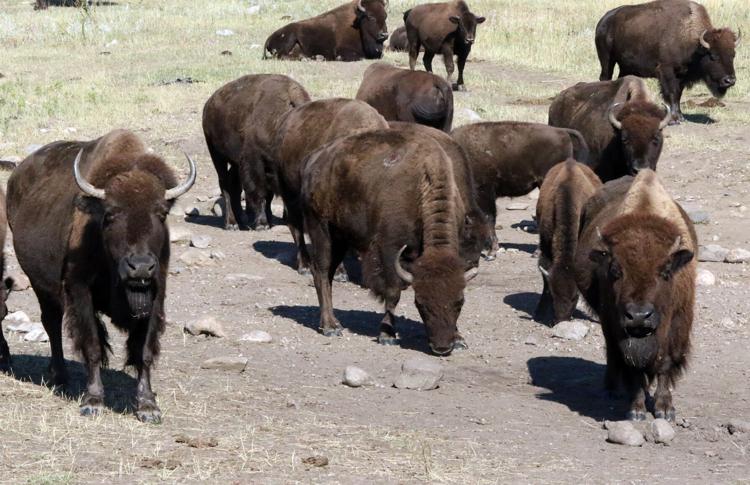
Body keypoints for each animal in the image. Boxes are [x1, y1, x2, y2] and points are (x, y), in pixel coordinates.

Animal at [6, 129, 196, 422]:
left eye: (162, 212)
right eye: (110, 213)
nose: (140, 266)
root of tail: (17, 174)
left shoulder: (155, 296)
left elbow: (144, 352)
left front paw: (148, 406)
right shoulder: (80, 292)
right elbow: (93, 346)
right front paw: (92, 402)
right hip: (40, 285)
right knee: (52, 323)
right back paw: (59, 376)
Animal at [203, 74, 310, 230]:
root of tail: (209, 103)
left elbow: (269, 195)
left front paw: (269, 221)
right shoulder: (254, 163)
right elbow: (260, 193)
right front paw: (262, 224)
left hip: (235, 162)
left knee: (234, 185)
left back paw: (241, 221)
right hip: (216, 154)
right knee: (225, 185)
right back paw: (231, 223)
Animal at [301, 129, 478, 354]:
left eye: (460, 303)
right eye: (420, 304)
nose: (441, 347)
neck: (422, 188)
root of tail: (314, 159)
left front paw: (459, 339)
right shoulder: (389, 250)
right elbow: (393, 293)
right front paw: (387, 335)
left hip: (341, 239)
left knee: (329, 275)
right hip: (321, 230)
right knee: (321, 272)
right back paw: (330, 326)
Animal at [575, 170, 696, 421]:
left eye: (666, 271)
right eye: (615, 270)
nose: (639, 316)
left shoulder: (677, 324)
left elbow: (665, 363)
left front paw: (664, 409)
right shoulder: (616, 324)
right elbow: (632, 368)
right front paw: (636, 410)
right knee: (612, 355)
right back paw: (611, 390)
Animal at [596, 0, 740, 124]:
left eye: (733, 55)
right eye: (713, 56)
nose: (730, 80)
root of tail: (603, 20)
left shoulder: (682, 76)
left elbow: (678, 94)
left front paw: (681, 117)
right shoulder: (667, 71)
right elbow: (671, 93)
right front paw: (674, 118)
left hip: (625, 66)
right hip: (607, 60)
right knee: (605, 77)